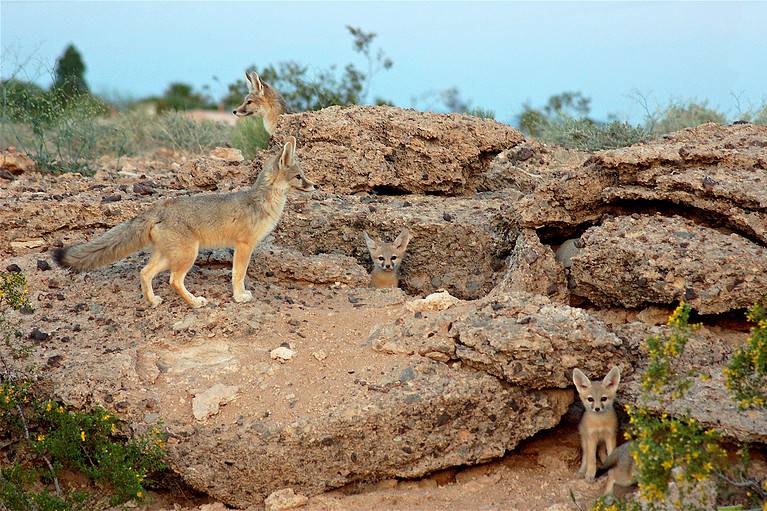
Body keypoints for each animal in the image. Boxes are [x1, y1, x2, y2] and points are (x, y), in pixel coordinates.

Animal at [54, 137, 315, 308]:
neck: (262, 201)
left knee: (145, 272)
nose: (315, 185)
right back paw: (195, 302)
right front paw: (239, 296)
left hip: (169, 256)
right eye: (299, 177)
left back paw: (153, 301)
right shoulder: (244, 245)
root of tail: (159, 208)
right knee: (173, 280)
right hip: (188, 255)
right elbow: (238, 274)